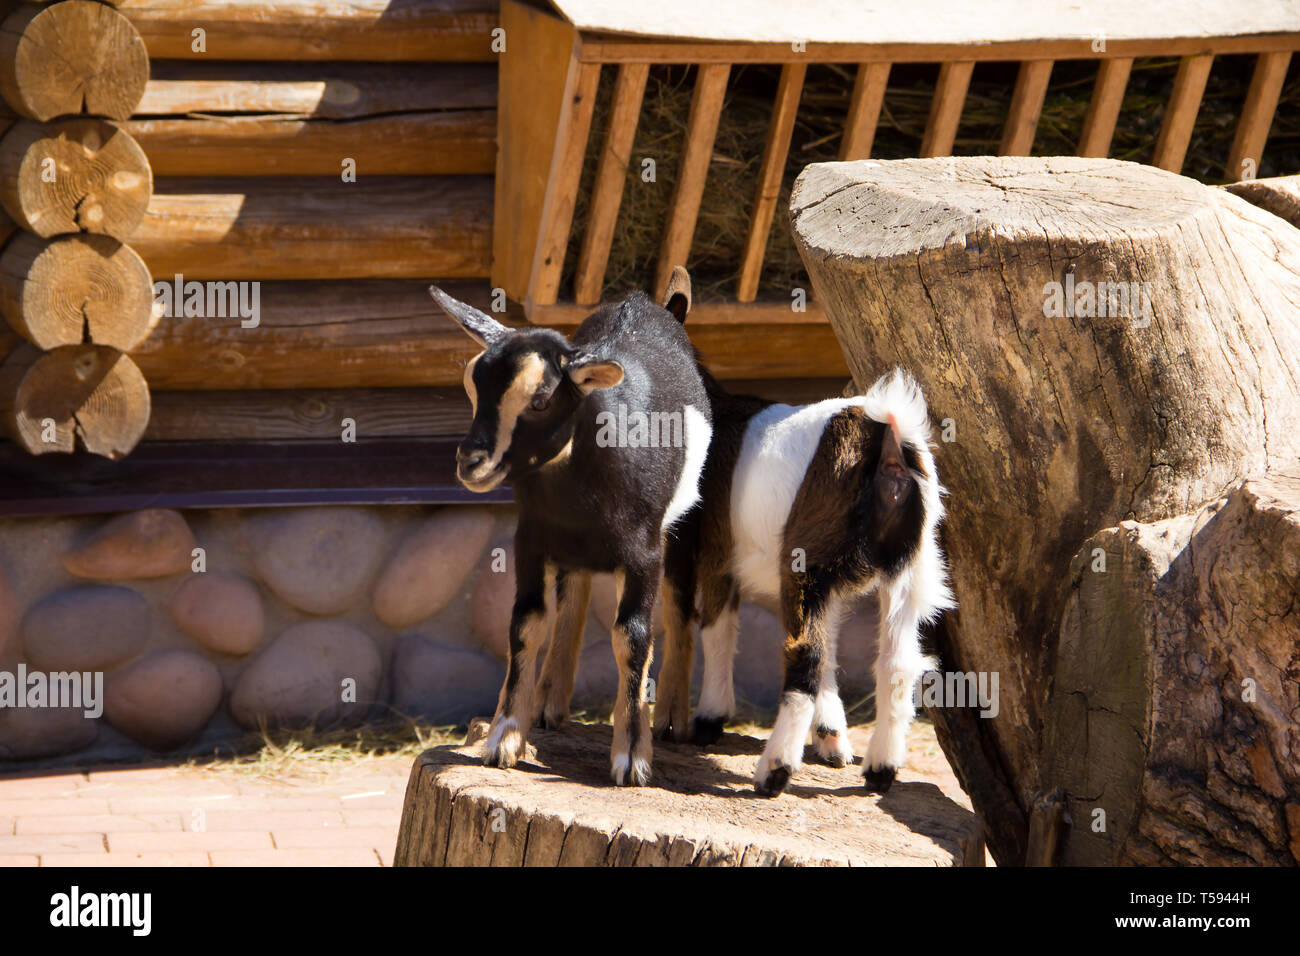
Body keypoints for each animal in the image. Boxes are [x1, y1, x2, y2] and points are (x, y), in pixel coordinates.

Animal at [430, 285, 712, 786]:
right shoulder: (530, 541)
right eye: (470, 388)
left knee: (680, 607)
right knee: (573, 595)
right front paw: (504, 737)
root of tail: (643, 302)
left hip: (683, 527)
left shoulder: (643, 554)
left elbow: (633, 636)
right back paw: (549, 700)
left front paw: (632, 757)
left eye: (540, 401)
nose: (470, 462)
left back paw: (672, 719)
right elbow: (526, 625)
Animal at [651, 268, 955, 795]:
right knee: (896, 663)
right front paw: (833, 738)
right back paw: (880, 770)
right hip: (910, 566)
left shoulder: (710, 552)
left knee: (804, 659)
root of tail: (887, 441)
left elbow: (714, 626)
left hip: (806, 557)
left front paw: (708, 719)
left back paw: (774, 771)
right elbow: (830, 644)